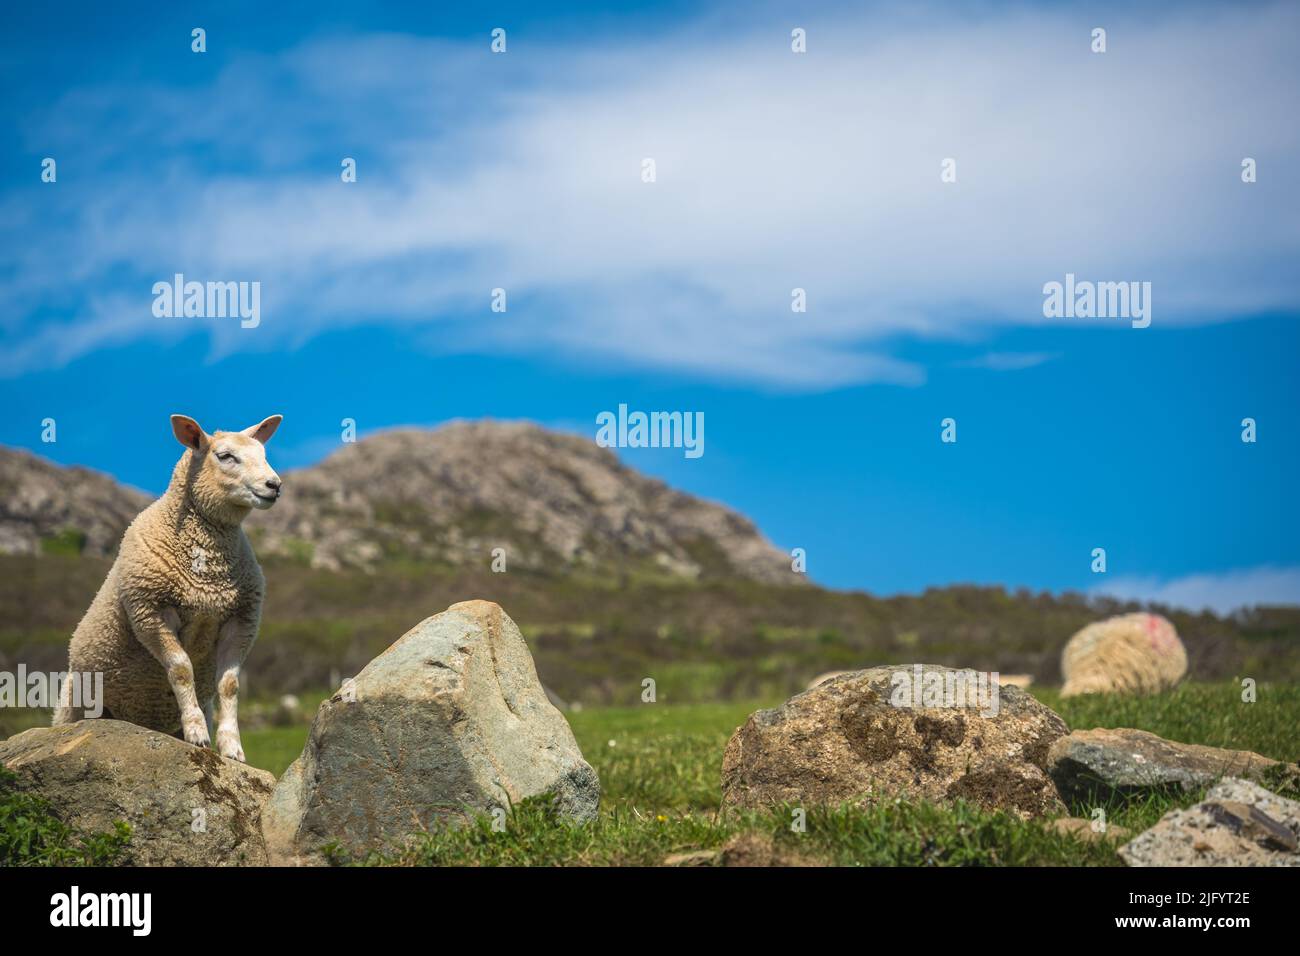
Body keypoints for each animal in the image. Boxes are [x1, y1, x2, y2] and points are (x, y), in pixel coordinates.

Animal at [52, 414, 284, 762]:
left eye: (263, 454)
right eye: (225, 456)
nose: (274, 485)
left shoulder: (241, 619)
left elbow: (230, 684)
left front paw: (232, 748)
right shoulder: (151, 611)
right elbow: (181, 670)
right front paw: (198, 735)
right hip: (74, 708)